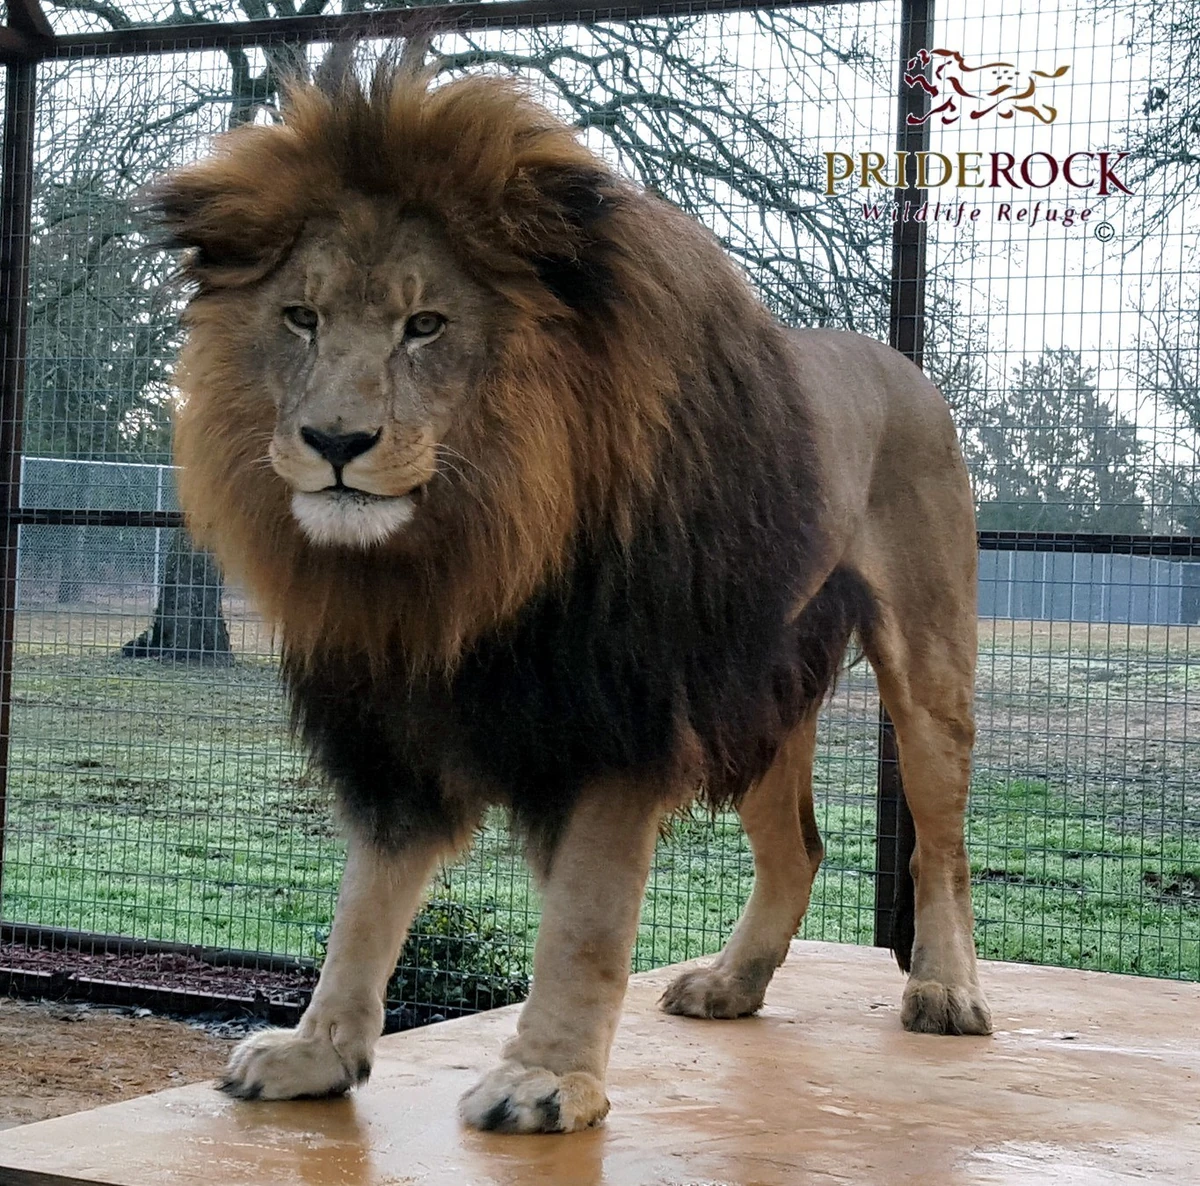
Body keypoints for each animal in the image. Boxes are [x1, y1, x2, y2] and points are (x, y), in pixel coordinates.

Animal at [149, 57, 991, 1134]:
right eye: (301, 318)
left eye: (426, 327)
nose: (336, 443)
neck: (466, 554)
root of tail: (903, 363)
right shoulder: (393, 713)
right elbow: (365, 897)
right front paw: (321, 1050)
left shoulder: (617, 712)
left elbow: (585, 915)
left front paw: (547, 1078)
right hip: (758, 688)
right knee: (797, 848)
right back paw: (731, 982)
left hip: (926, 669)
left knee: (941, 847)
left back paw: (946, 989)